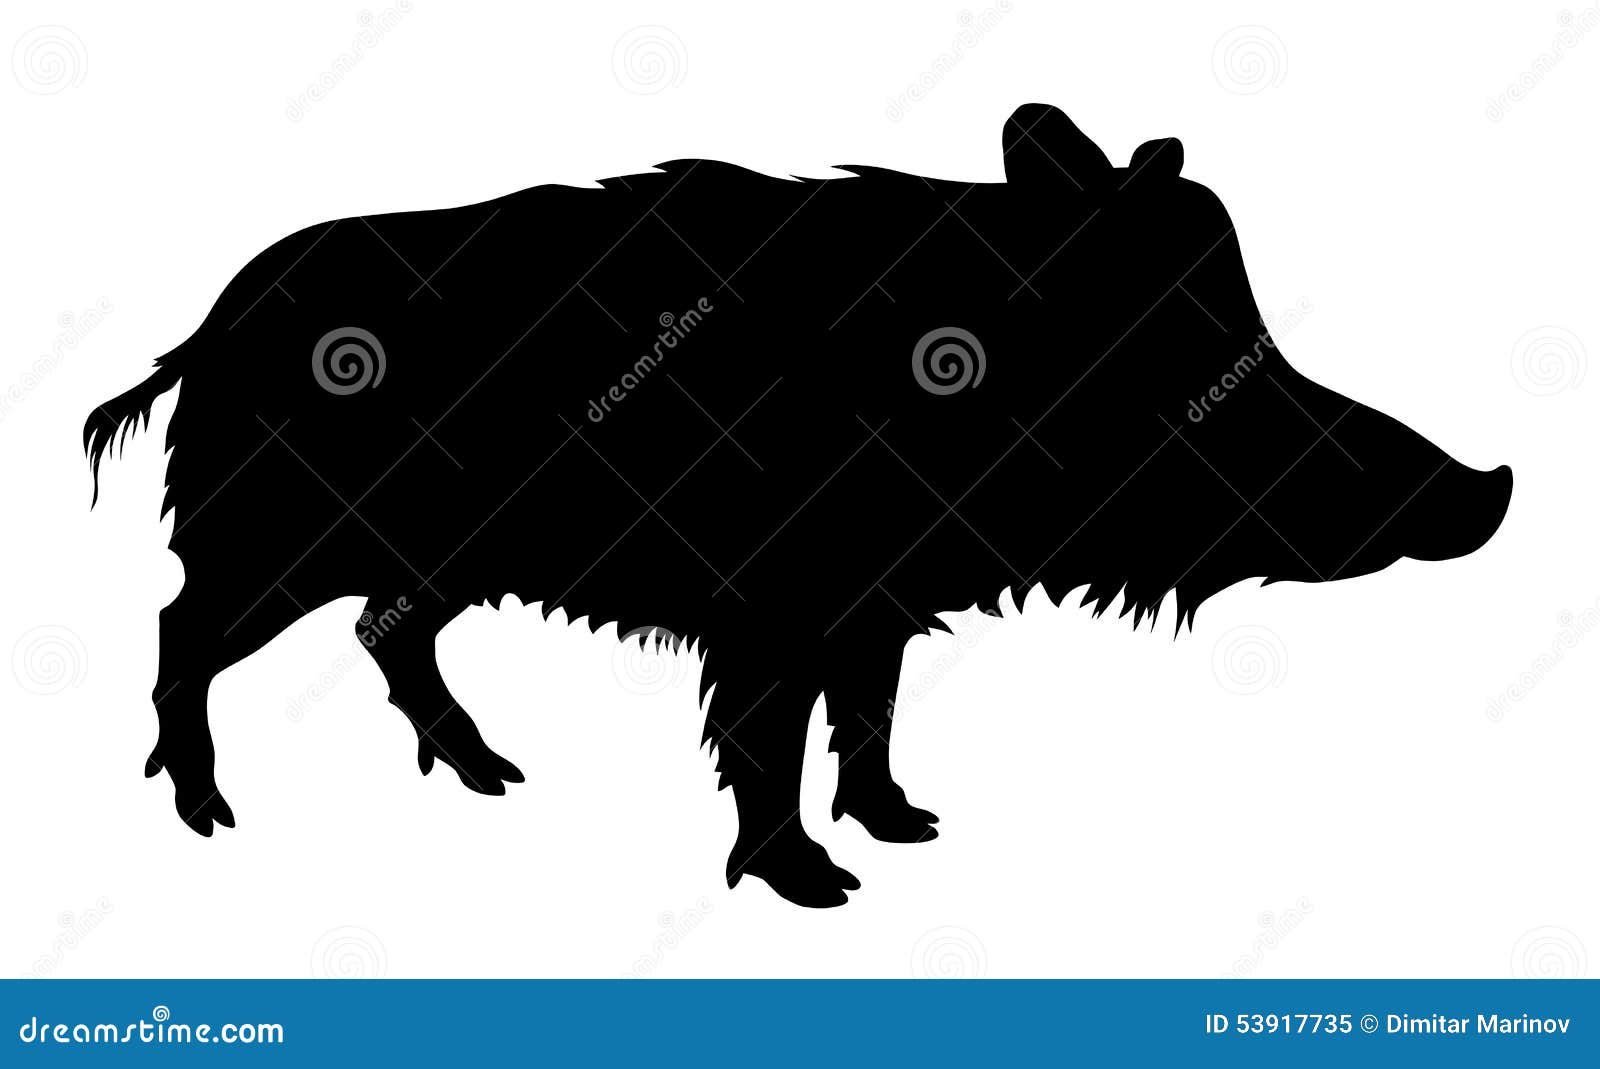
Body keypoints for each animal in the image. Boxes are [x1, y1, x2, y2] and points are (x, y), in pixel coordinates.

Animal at [85, 104, 1511, 907]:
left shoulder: (873, 602)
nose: (1487, 484)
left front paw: (911, 828)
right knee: (183, 631)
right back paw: (208, 815)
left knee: (388, 633)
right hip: (267, 535)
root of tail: (204, 332)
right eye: (1183, 349)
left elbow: (867, 714)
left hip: (423, 555)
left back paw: (497, 776)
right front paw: (820, 890)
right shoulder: (769, 608)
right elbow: (766, 738)